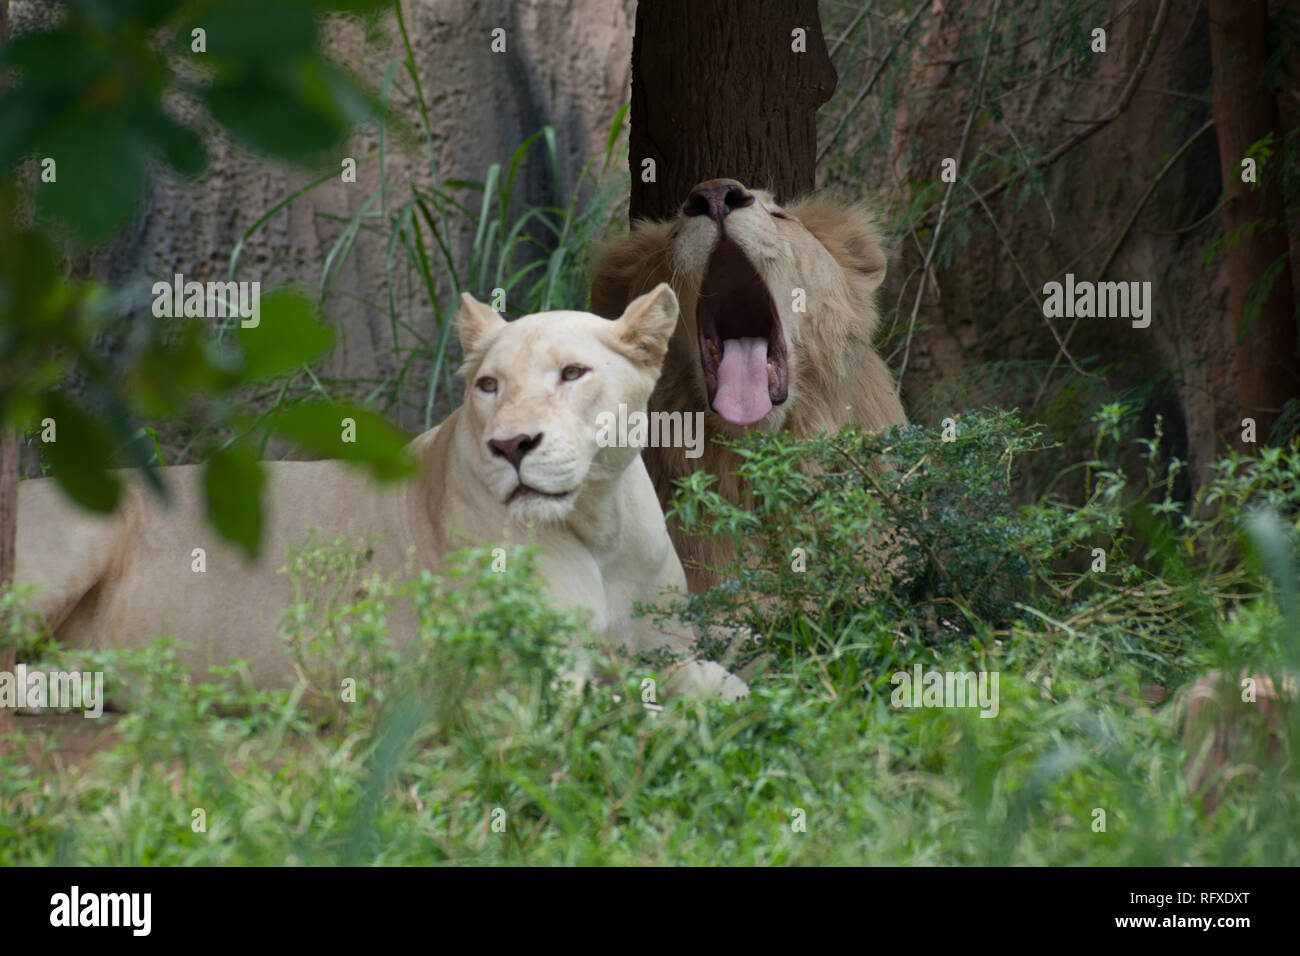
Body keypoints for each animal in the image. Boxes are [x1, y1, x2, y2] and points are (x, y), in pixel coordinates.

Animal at [14, 285, 747, 701]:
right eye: (489, 385)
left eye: (572, 373)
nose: (511, 446)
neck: (595, 527)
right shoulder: (511, 681)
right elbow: (619, 699)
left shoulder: (662, 639)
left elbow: (708, 673)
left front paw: (725, 684)